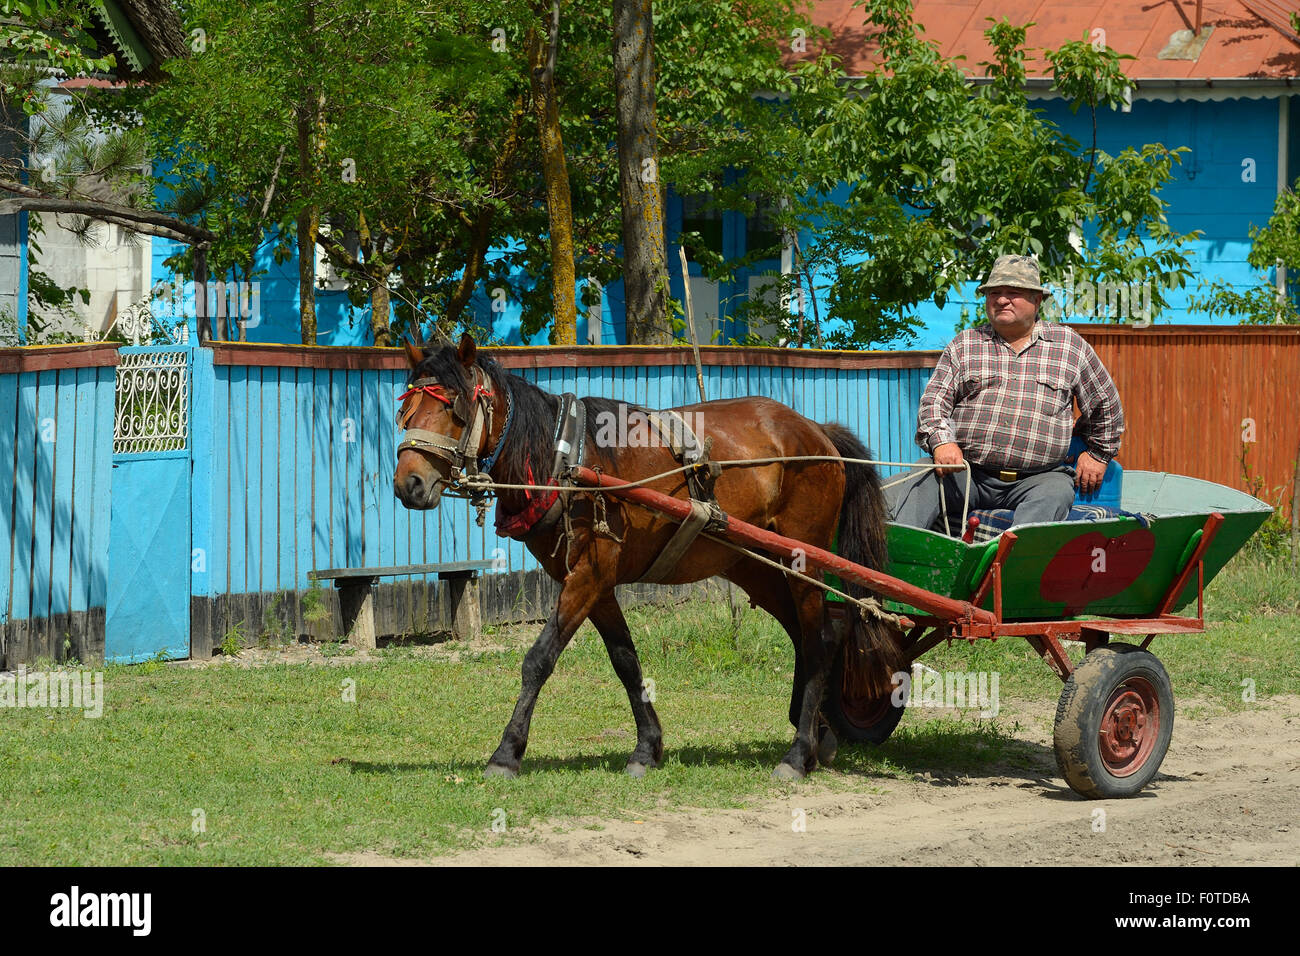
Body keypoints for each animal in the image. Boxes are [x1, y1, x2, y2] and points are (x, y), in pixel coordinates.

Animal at [392, 333, 899, 780]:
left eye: (454, 409)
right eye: (405, 410)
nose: (408, 484)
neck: (567, 458)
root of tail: (816, 432)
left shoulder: (589, 575)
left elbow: (538, 660)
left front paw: (506, 753)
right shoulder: (595, 584)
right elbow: (625, 661)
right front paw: (647, 748)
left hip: (803, 560)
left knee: (820, 639)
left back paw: (798, 753)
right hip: (756, 564)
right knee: (802, 635)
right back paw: (817, 737)